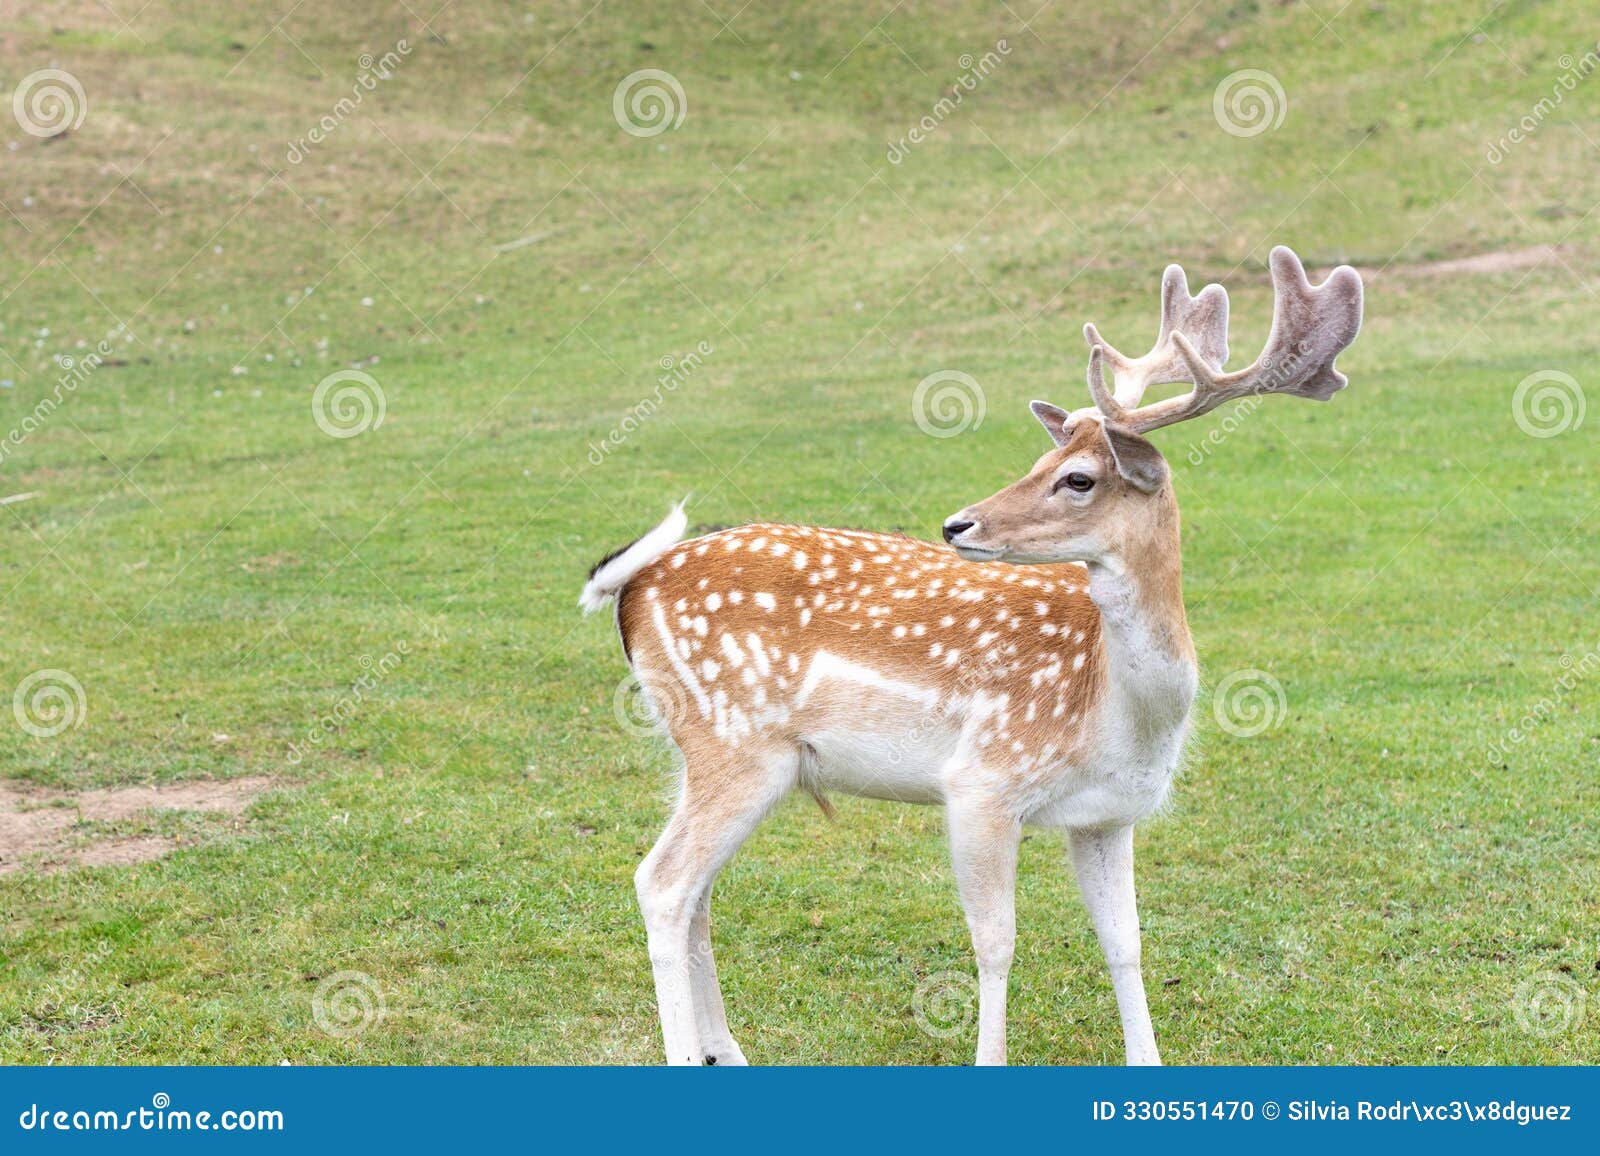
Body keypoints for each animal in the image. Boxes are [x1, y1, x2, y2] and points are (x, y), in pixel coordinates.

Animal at [579, 246, 1363, 1066]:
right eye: (1042, 459)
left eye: (1077, 476)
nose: (959, 523)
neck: (1115, 713)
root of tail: (632, 586)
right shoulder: (982, 782)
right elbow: (996, 943)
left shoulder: (1109, 814)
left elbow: (1126, 944)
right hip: (735, 742)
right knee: (662, 883)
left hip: (713, 753)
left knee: (696, 892)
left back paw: (727, 1052)